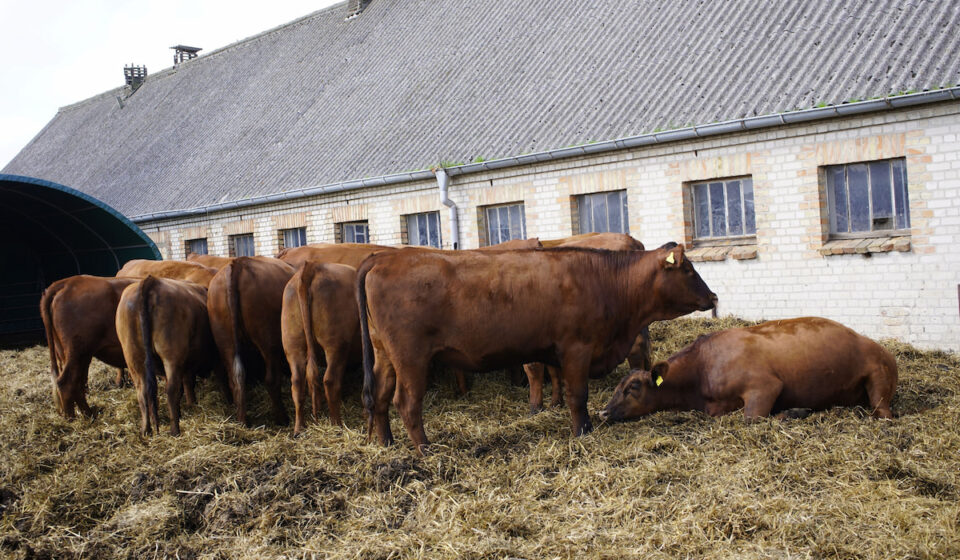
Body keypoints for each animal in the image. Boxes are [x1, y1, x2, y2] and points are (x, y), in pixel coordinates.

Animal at [40, 275, 138, 417]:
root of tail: (67, 282)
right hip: (77, 351)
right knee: (67, 383)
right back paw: (72, 418)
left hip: (75, 355)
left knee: (77, 383)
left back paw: (88, 414)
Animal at [116, 276, 220, 436]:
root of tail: (150, 282)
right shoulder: (187, 363)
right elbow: (188, 383)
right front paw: (191, 404)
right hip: (172, 357)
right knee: (171, 390)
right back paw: (175, 430)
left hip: (133, 358)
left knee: (142, 392)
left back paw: (146, 430)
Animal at [207, 256, 295, 426]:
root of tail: (236, 265)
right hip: (268, 341)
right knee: (271, 380)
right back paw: (282, 419)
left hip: (225, 339)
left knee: (235, 379)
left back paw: (242, 421)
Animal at [281, 262, 360, 433]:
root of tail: (312, 267)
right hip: (335, 346)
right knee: (330, 380)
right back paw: (336, 425)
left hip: (293, 344)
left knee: (297, 382)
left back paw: (299, 429)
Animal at [599, 317, 897, 423]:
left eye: (633, 387)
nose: (602, 412)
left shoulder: (765, 386)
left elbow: (751, 418)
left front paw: (794, 411)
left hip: (878, 380)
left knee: (883, 413)